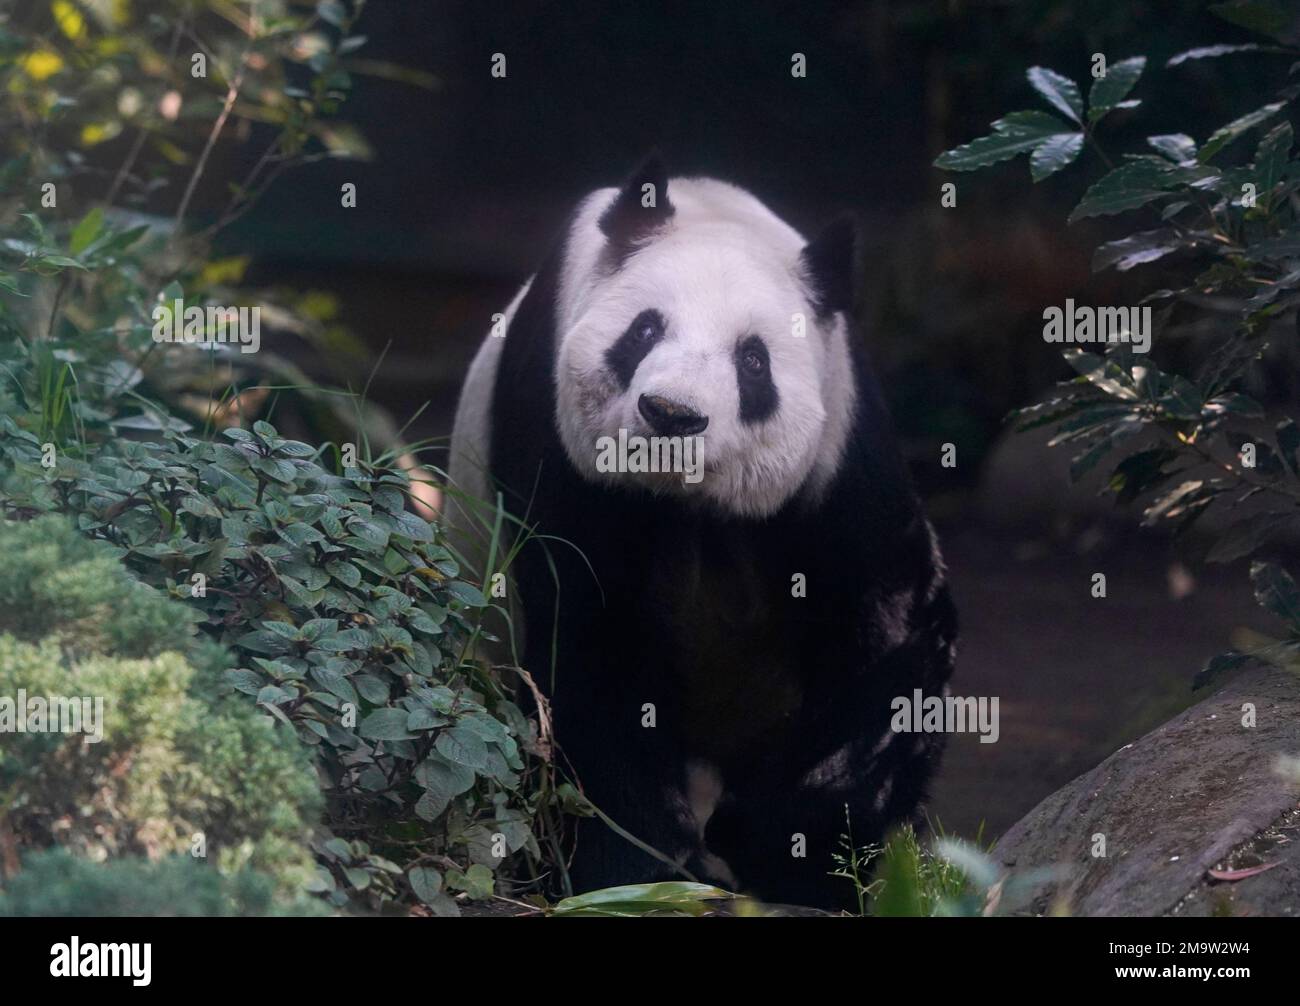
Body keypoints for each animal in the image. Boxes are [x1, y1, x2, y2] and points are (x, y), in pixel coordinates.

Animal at [448, 155, 957, 910]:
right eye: (643, 331)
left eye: (753, 360)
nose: (672, 413)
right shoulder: (556, 444)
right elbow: (592, 650)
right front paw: (645, 870)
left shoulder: (840, 453)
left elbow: (890, 633)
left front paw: (790, 854)